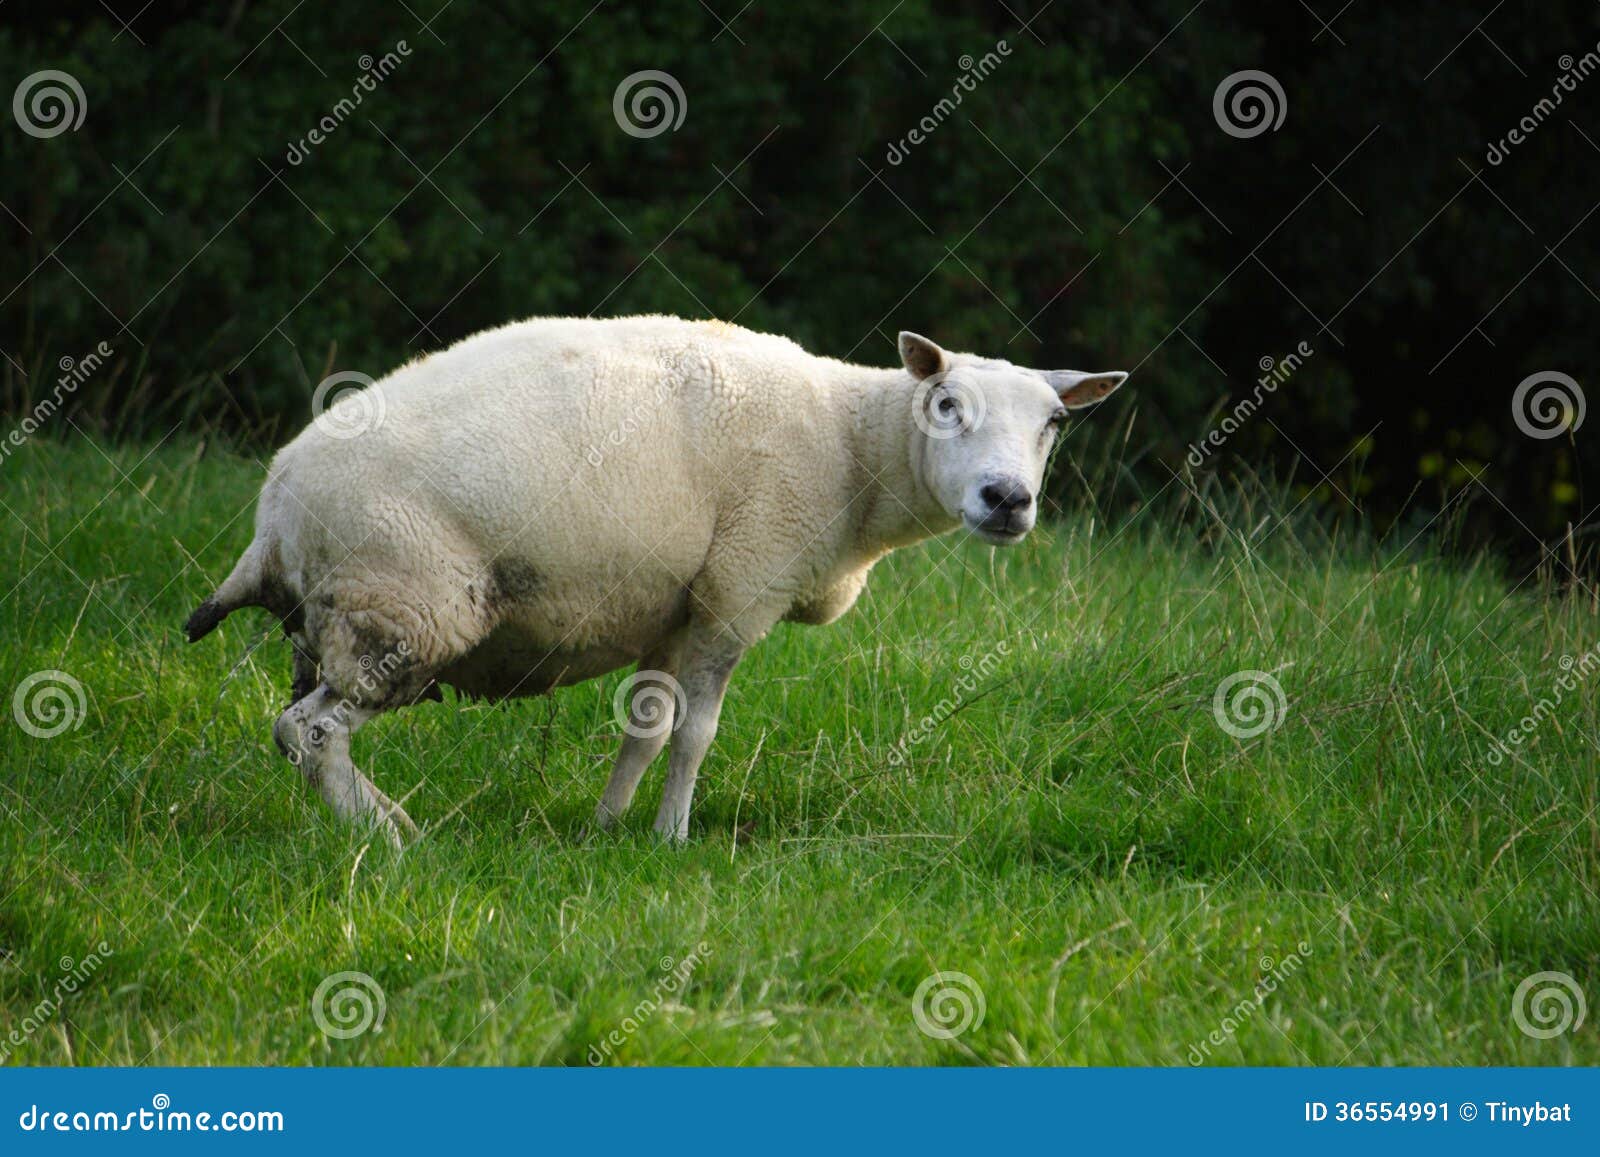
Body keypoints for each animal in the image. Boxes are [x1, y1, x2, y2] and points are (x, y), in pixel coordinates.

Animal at [186, 316, 1126, 846]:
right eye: (946, 406)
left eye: (1053, 423)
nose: (1007, 499)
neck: (852, 445)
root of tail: (273, 511)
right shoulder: (739, 593)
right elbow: (695, 734)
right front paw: (671, 838)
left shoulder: (674, 608)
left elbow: (644, 727)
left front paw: (607, 829)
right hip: (402, 608)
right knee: (307, 732)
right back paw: (389, 838)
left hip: (338, 619)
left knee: (302, 729)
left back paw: (379, 824)